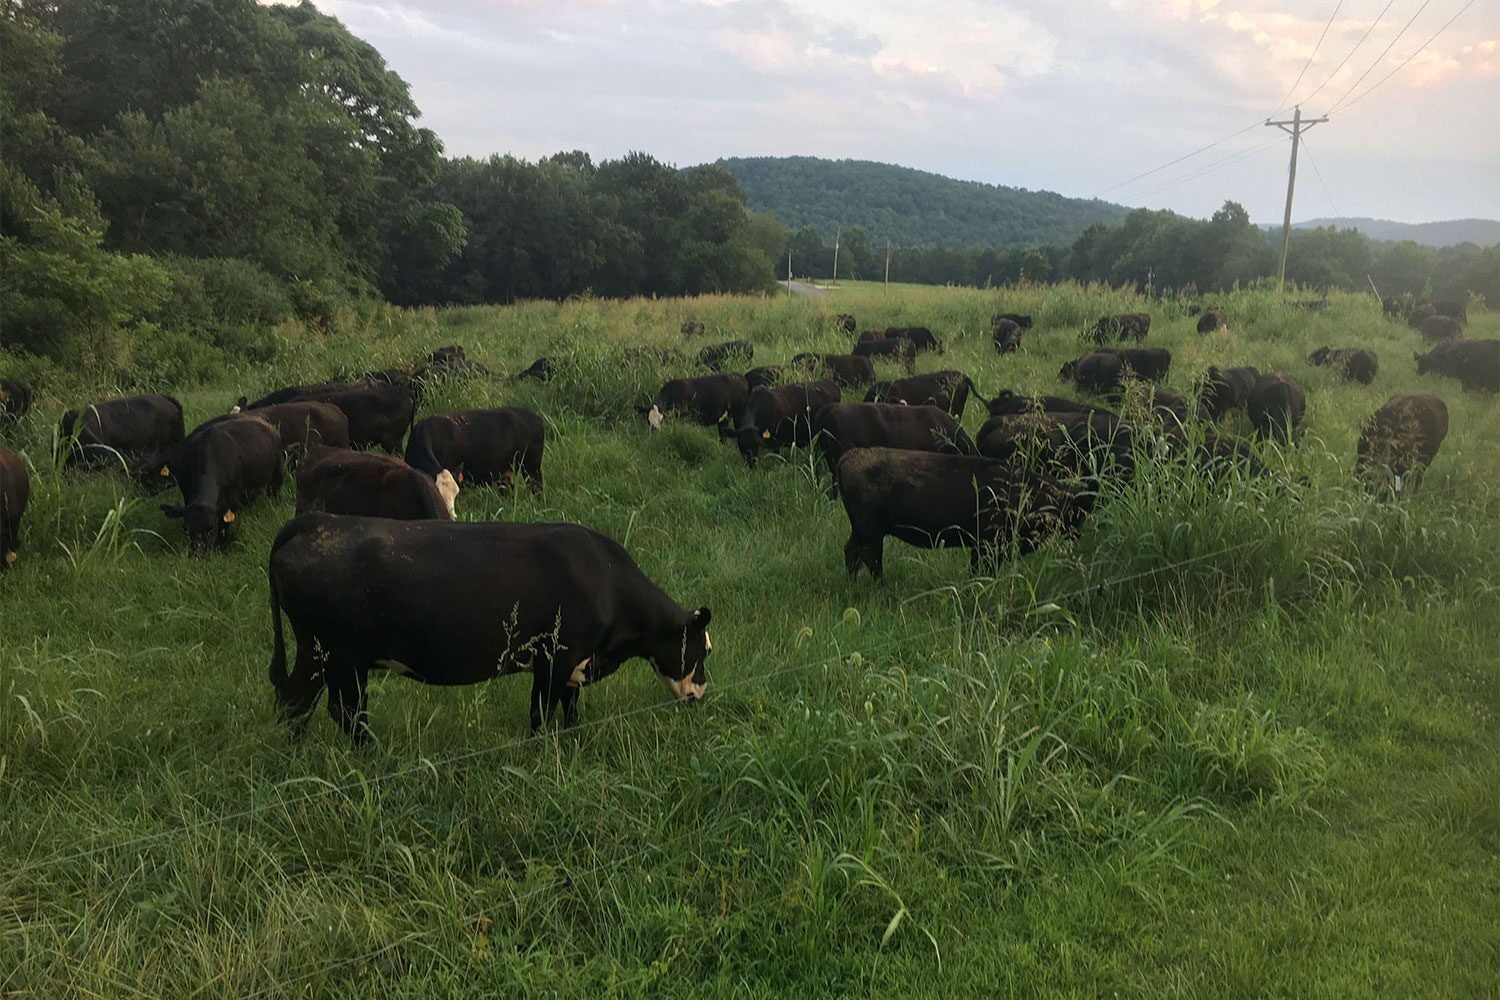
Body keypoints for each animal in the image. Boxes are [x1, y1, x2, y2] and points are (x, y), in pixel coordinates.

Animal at [160, 417, 283, 552]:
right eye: (186, 529)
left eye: (211, 529)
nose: (199, 553)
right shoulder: (186, 493)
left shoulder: (231, 497)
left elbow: (225, 524)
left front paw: (224, 545)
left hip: (277, 474)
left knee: (275, 493)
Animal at [267, 514, 713, 739]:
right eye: (704, 650)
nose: (702, 692)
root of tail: (314, 520)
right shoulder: (554, 659)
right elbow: (540, 713)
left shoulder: (574, 664)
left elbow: (571, 711)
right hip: (321, 652)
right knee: (299, 703)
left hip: (346, 662)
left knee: (342, 709)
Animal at [837, 448, 1092, 579]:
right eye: (1073, 510)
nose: (1079, 531)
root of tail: (849, 456)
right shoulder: (987, 546)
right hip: (871, 532)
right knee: (871, 558)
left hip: (860, 530)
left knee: (852, 552)